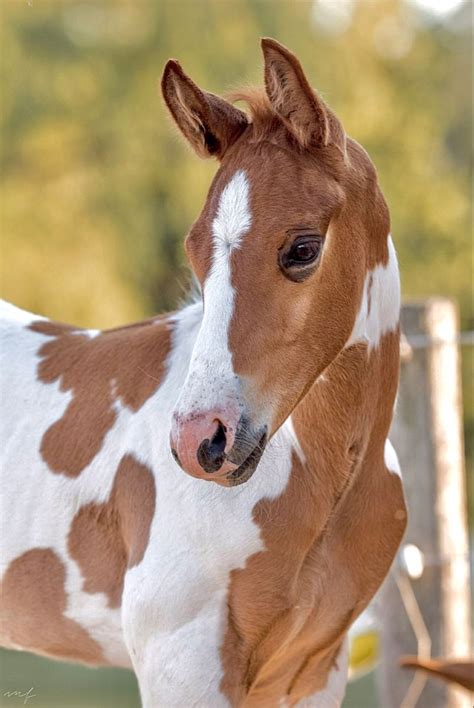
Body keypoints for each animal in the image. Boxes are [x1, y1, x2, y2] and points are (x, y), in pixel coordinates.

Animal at [0, 38, 407, 707]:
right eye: (195, 252)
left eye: (302, 248)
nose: (199, 442)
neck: (326, 479)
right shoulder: (182, 662)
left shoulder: (315, 670)